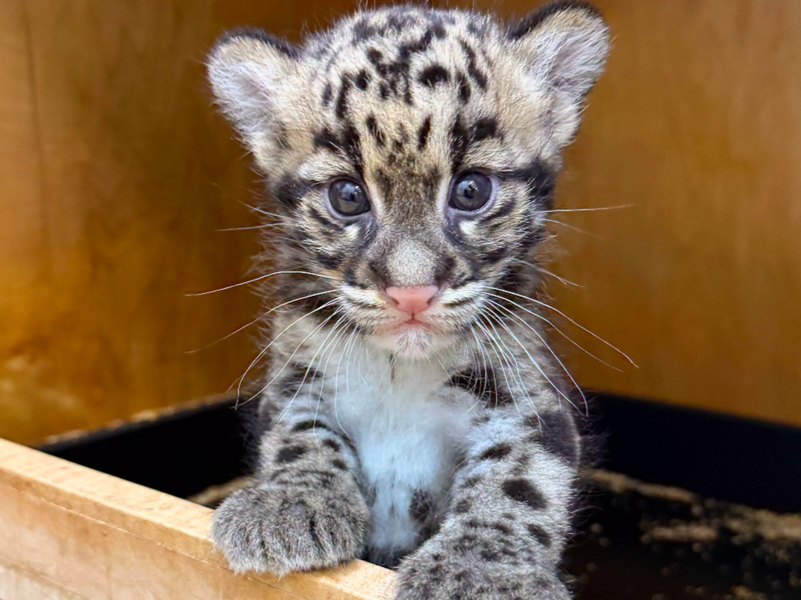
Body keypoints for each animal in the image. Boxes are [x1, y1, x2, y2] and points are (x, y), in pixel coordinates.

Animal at [207, 2, 610, 598]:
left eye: (471, 190)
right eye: (348, 196)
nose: (411, 291)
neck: (401, 368)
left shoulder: (524, 392)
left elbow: (517, 477)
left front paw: (482, 568)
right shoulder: (297, 372)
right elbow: (301, 435)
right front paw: (288, 504)